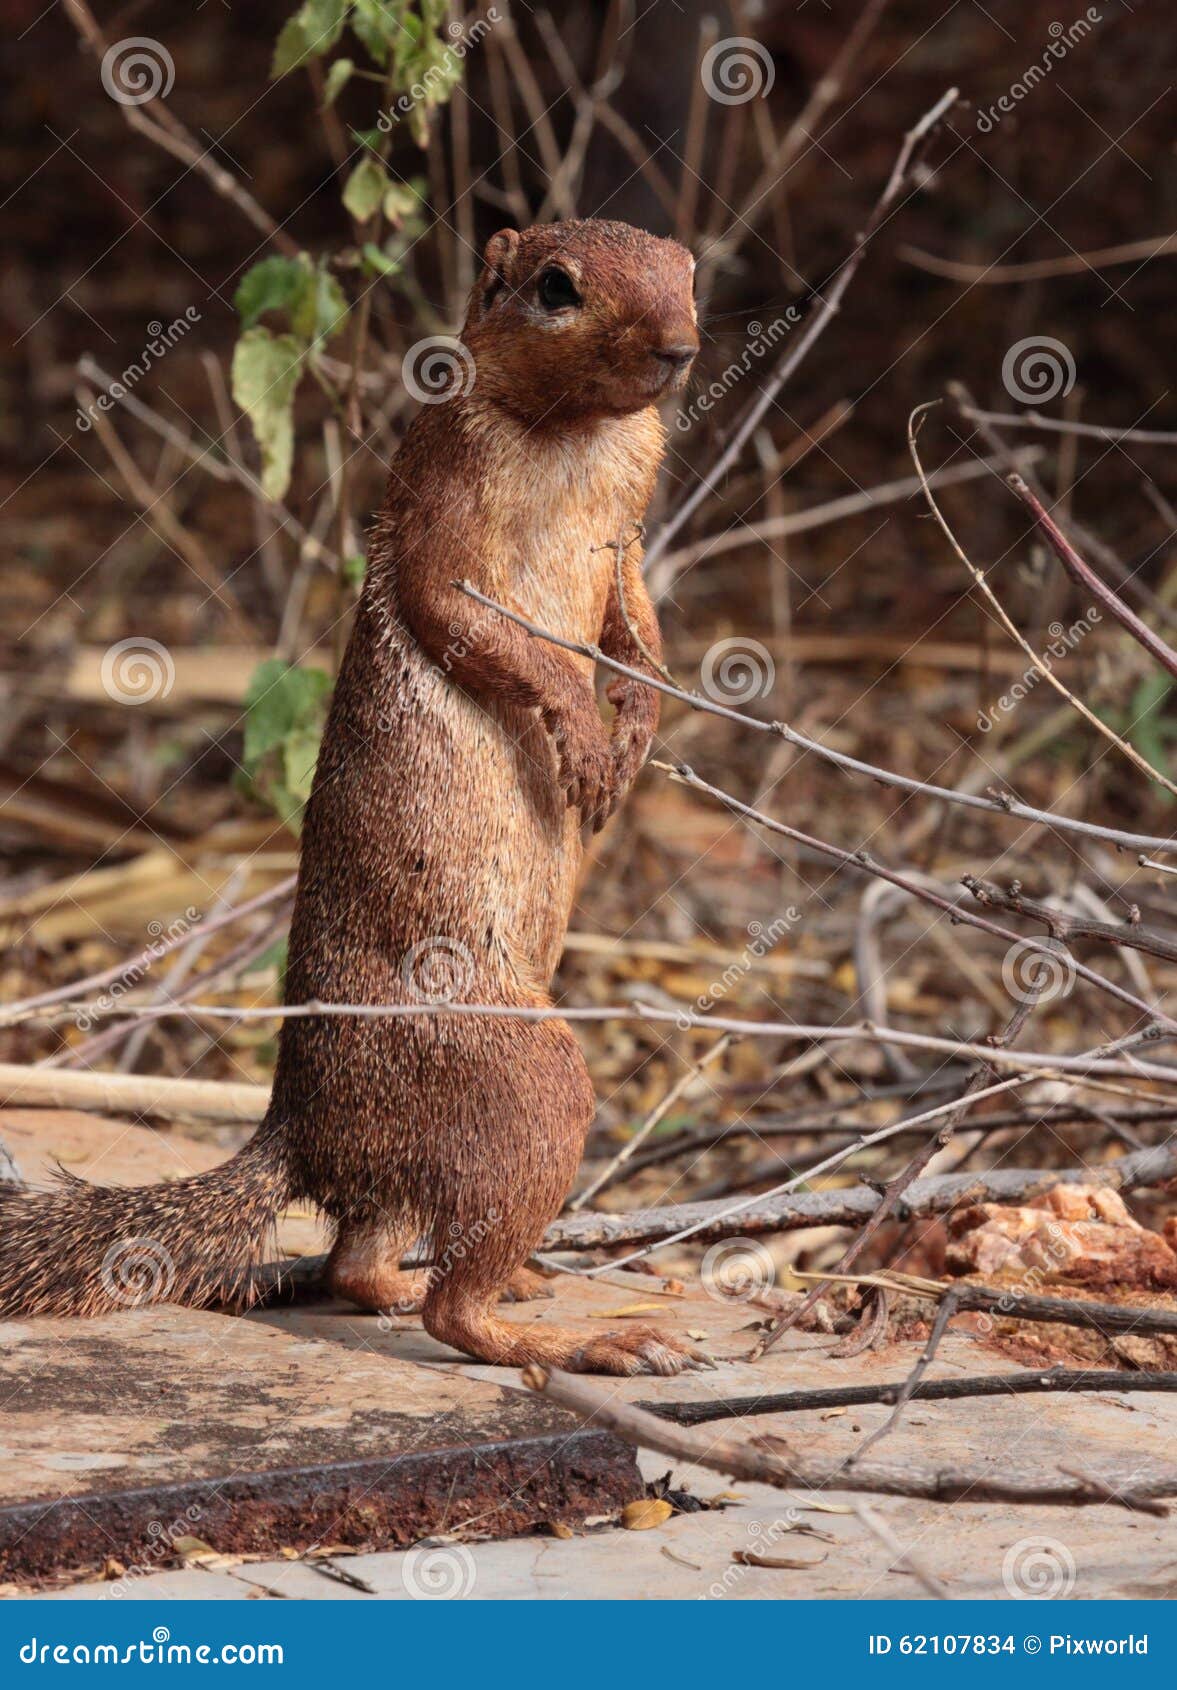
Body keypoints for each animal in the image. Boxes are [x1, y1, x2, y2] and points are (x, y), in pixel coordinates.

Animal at [0, 219, 704, 1376]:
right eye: (556, 288)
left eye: (687, 270)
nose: (681, 348)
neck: (576, 438)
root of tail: (303, 1130)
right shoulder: (443, 510)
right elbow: (480, 628)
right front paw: (583, 737)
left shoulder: (629, 537)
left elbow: (640, 631)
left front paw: (633, 732)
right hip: (537, 1088)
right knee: (443, 1308)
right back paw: (587, 1339)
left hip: (415, 1173)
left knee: (360, 1262)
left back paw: (503, 1282)